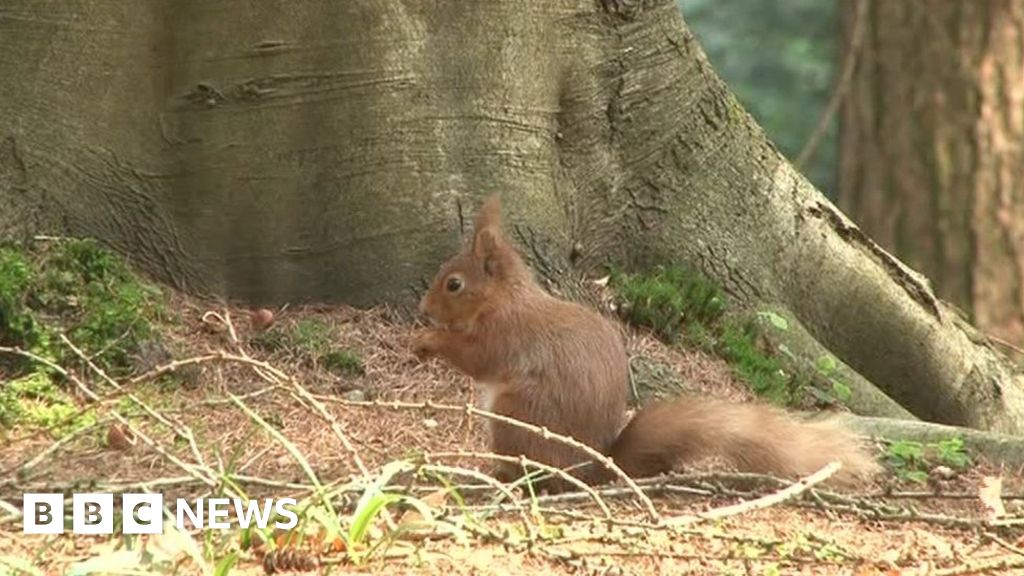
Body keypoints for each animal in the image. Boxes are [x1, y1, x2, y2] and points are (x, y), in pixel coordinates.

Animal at [413, 194, 880, 490]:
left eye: (454, 284)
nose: (423, 309)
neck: (504, 300)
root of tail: (592, 468)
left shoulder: (504, 334)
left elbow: (475, 357)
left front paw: (427, 341)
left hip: (516, 414)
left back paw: (504, 478)